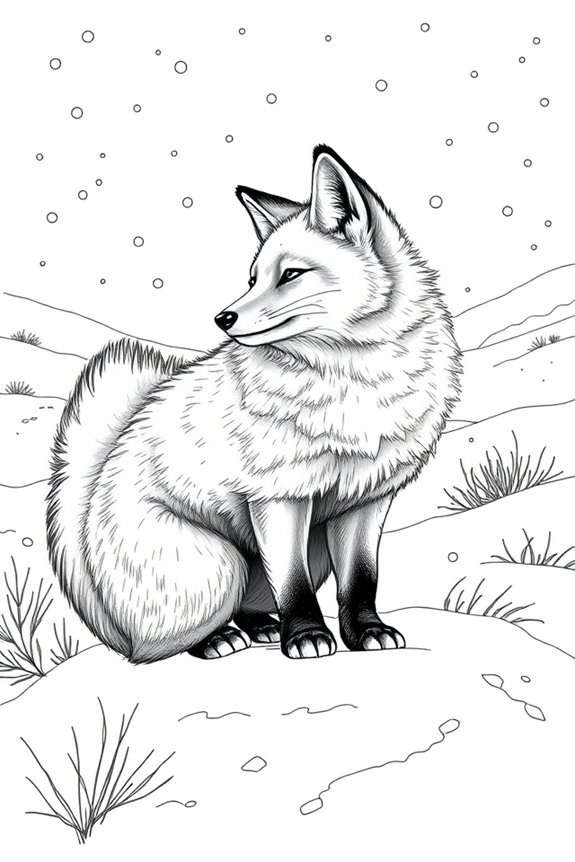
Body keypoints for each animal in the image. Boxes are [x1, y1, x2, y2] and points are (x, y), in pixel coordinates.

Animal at [46, 145, 461, 663]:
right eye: (252, 278)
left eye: (291, 275)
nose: (223, 318)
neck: (352, 385)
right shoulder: (277, 497)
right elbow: (293, 584)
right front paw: (306, 636)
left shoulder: (365, 502)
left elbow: (361, 580)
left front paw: (366, 631)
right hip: (221, 565)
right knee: (155, 645)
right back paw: (216, 639)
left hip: (293, 556)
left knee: (243, 606)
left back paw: (259, 626)